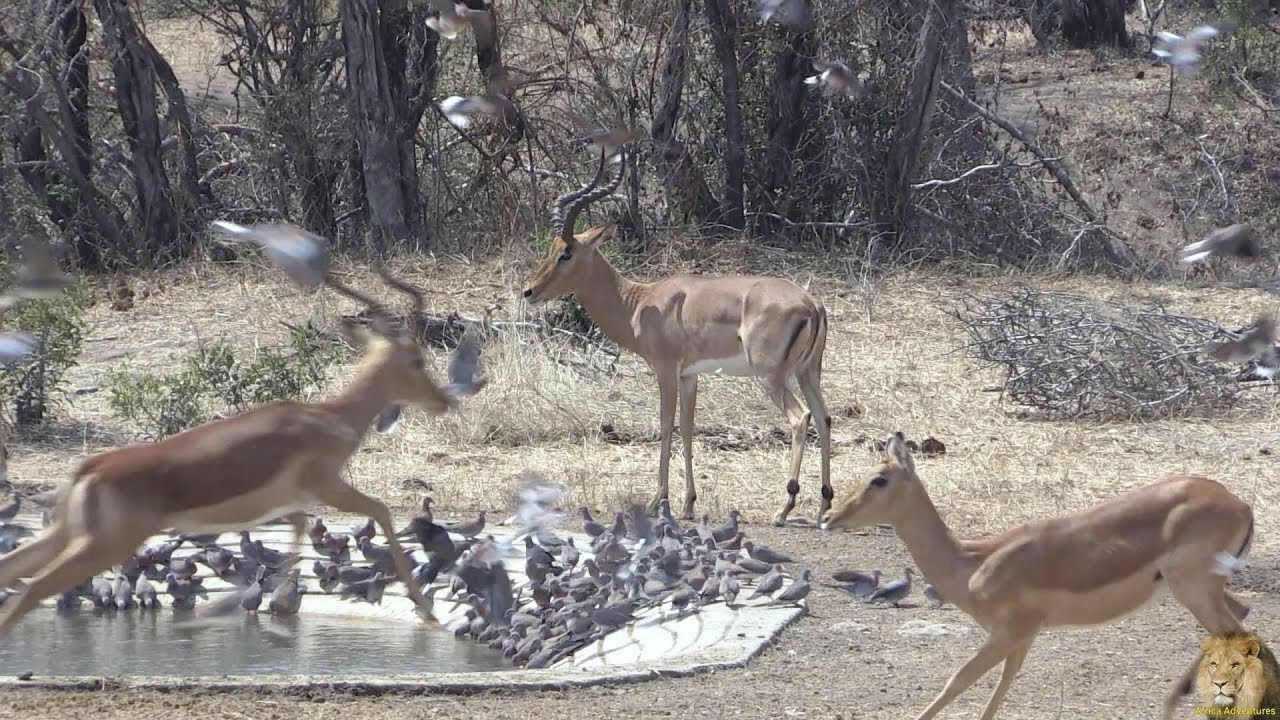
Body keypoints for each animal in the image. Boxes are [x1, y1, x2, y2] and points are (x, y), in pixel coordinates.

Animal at [0, 266, 481, 634]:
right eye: (417, 360)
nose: (444, 400)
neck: (330, 417)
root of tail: (90, 468)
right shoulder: (326, 486)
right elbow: (380, 510)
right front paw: (427, 611)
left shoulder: (291, 505)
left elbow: (298, 534)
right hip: (104, 543)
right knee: (33, 587)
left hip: (66, 534)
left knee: (14, 570)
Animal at [521, 150, 833, 525]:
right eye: (552, 249)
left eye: (566, 253)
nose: (529, 291)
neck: (640, 302)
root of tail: (810, 303)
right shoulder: (689, 375)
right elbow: (687, 427)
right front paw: (688, 503)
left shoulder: (666, 370)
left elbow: (666, 425)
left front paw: (658, 500)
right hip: (807, 373)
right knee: (824, 417)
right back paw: (824, 507)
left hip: (770, 376)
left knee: (800, 419)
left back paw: (784, 508)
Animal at [820, 432, 1255, 720]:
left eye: (878, 479)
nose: (830, 518)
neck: (973, 562)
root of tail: (1241, 504)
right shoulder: (1023, 637)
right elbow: (1002, 686)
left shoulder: (1009, 632)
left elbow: (958, 679)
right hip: (1206, 589)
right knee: (1239, 621)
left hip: (1192, 588)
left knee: (1236, 633)